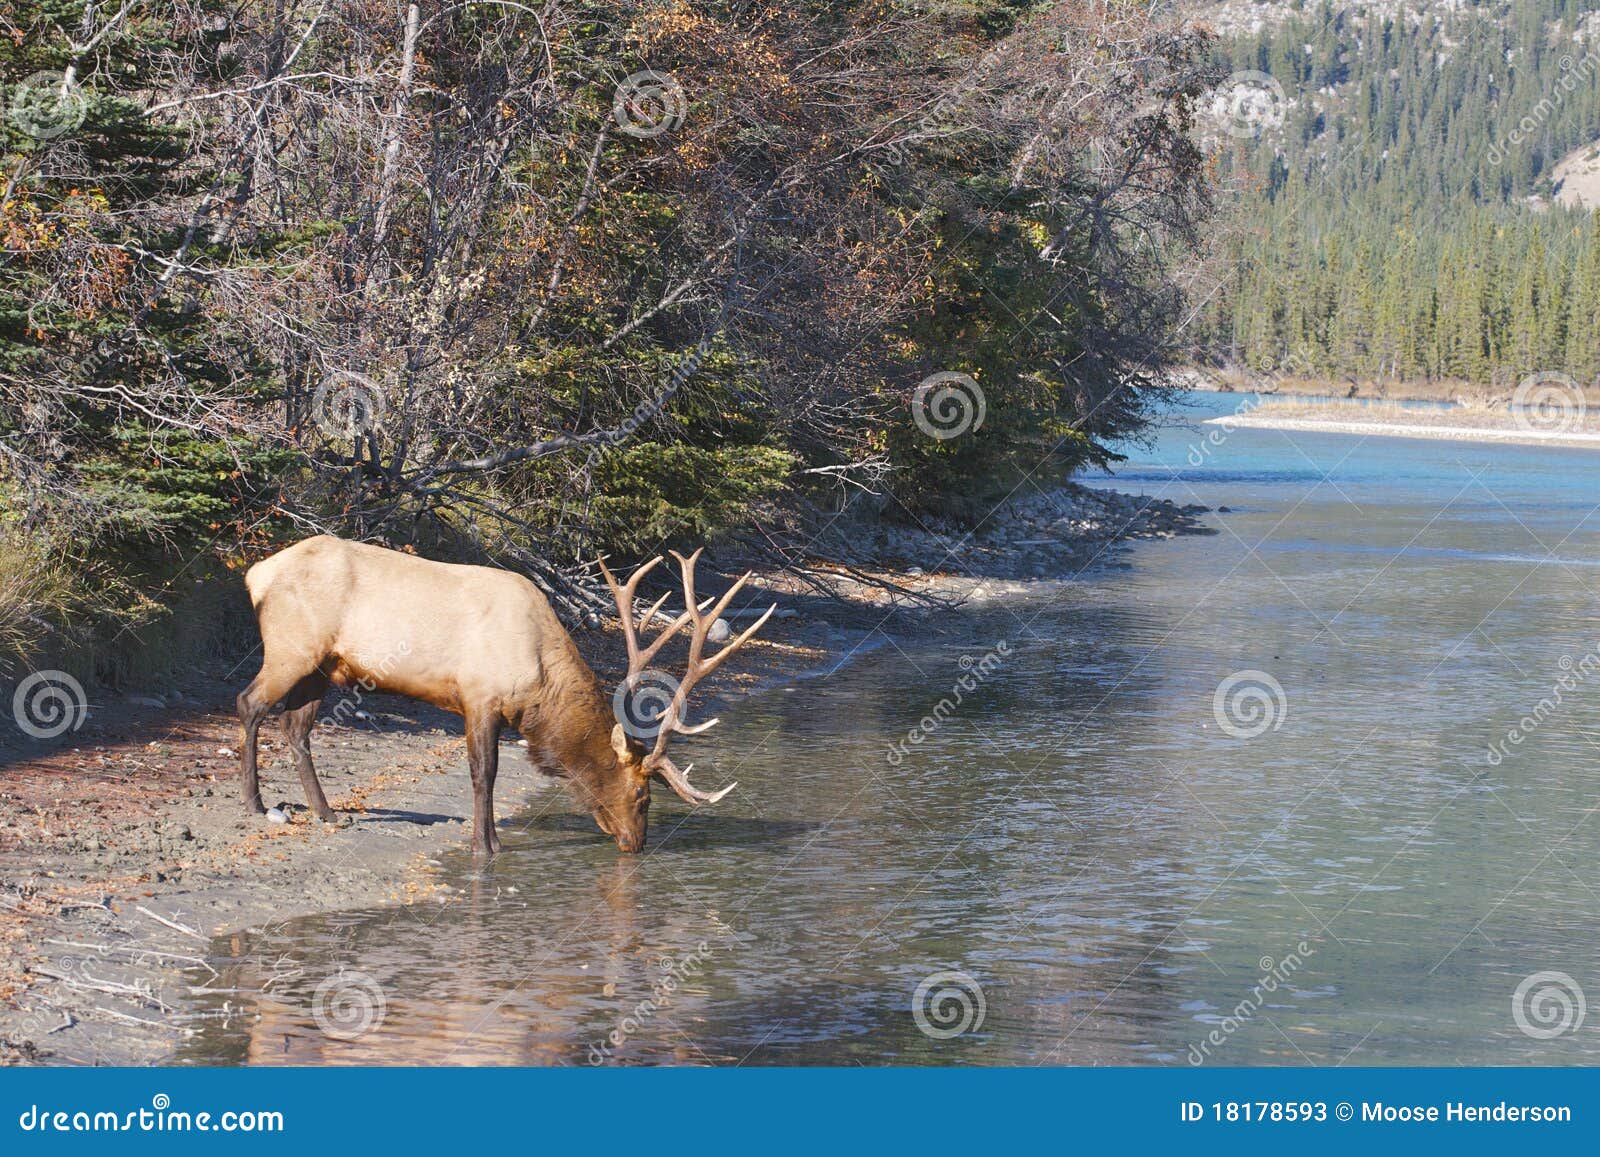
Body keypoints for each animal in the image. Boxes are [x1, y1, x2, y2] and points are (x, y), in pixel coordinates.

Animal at [237, 535, 775, 855]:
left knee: (295, 725)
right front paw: (486, 845)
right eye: (642, 796)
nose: (636, 844)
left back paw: (326, 811)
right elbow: (484, 773)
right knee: (249, 704)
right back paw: (256, 803)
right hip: (290, 646)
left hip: (323, 664)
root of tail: (254, 574)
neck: (539, 684)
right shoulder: (480, 696)